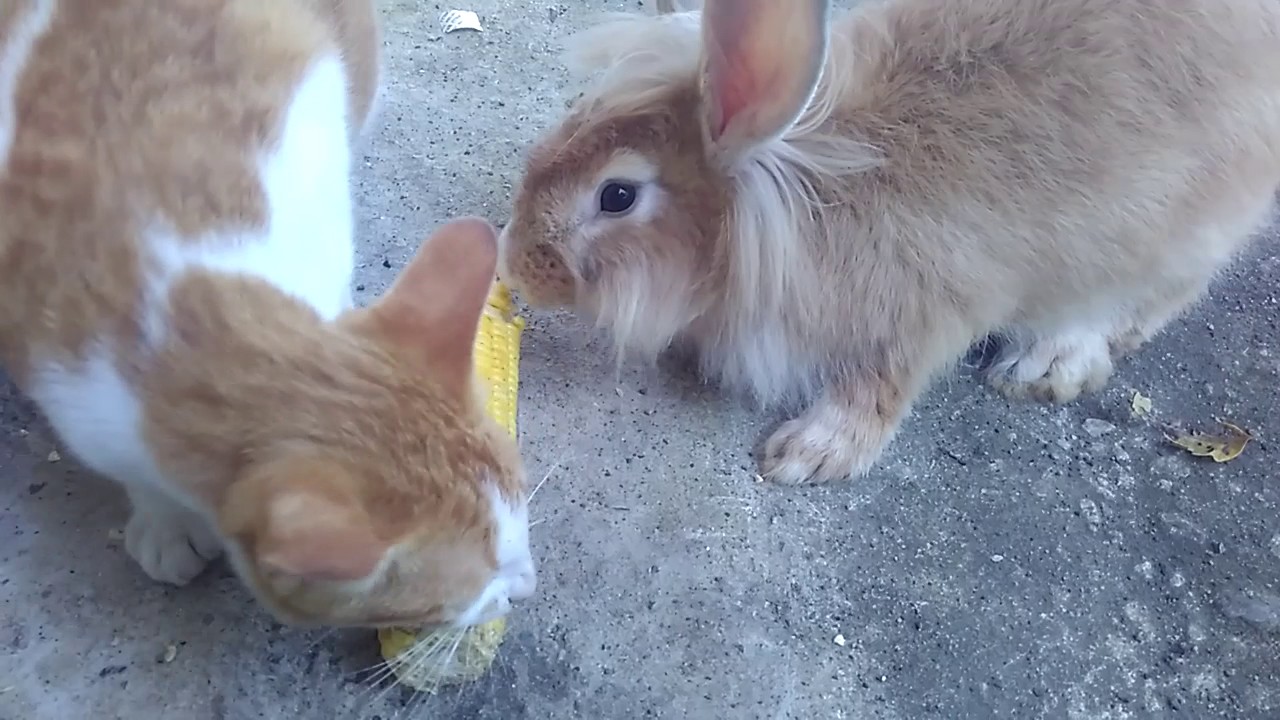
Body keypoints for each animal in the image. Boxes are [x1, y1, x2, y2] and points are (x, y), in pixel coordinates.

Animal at [0, 0, 536, 629]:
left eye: (524, 518)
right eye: (468, 593)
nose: (527, 586)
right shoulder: (73, 391)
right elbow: (137, 475)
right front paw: (163, 521)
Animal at [497, 0, 1280, 484]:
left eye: (617, 195)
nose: (514, 263)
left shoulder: (919, 316)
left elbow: (877, 392)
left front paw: (806, 455)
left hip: (1177, 234)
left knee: (1139, 305)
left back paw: (1044, 364)